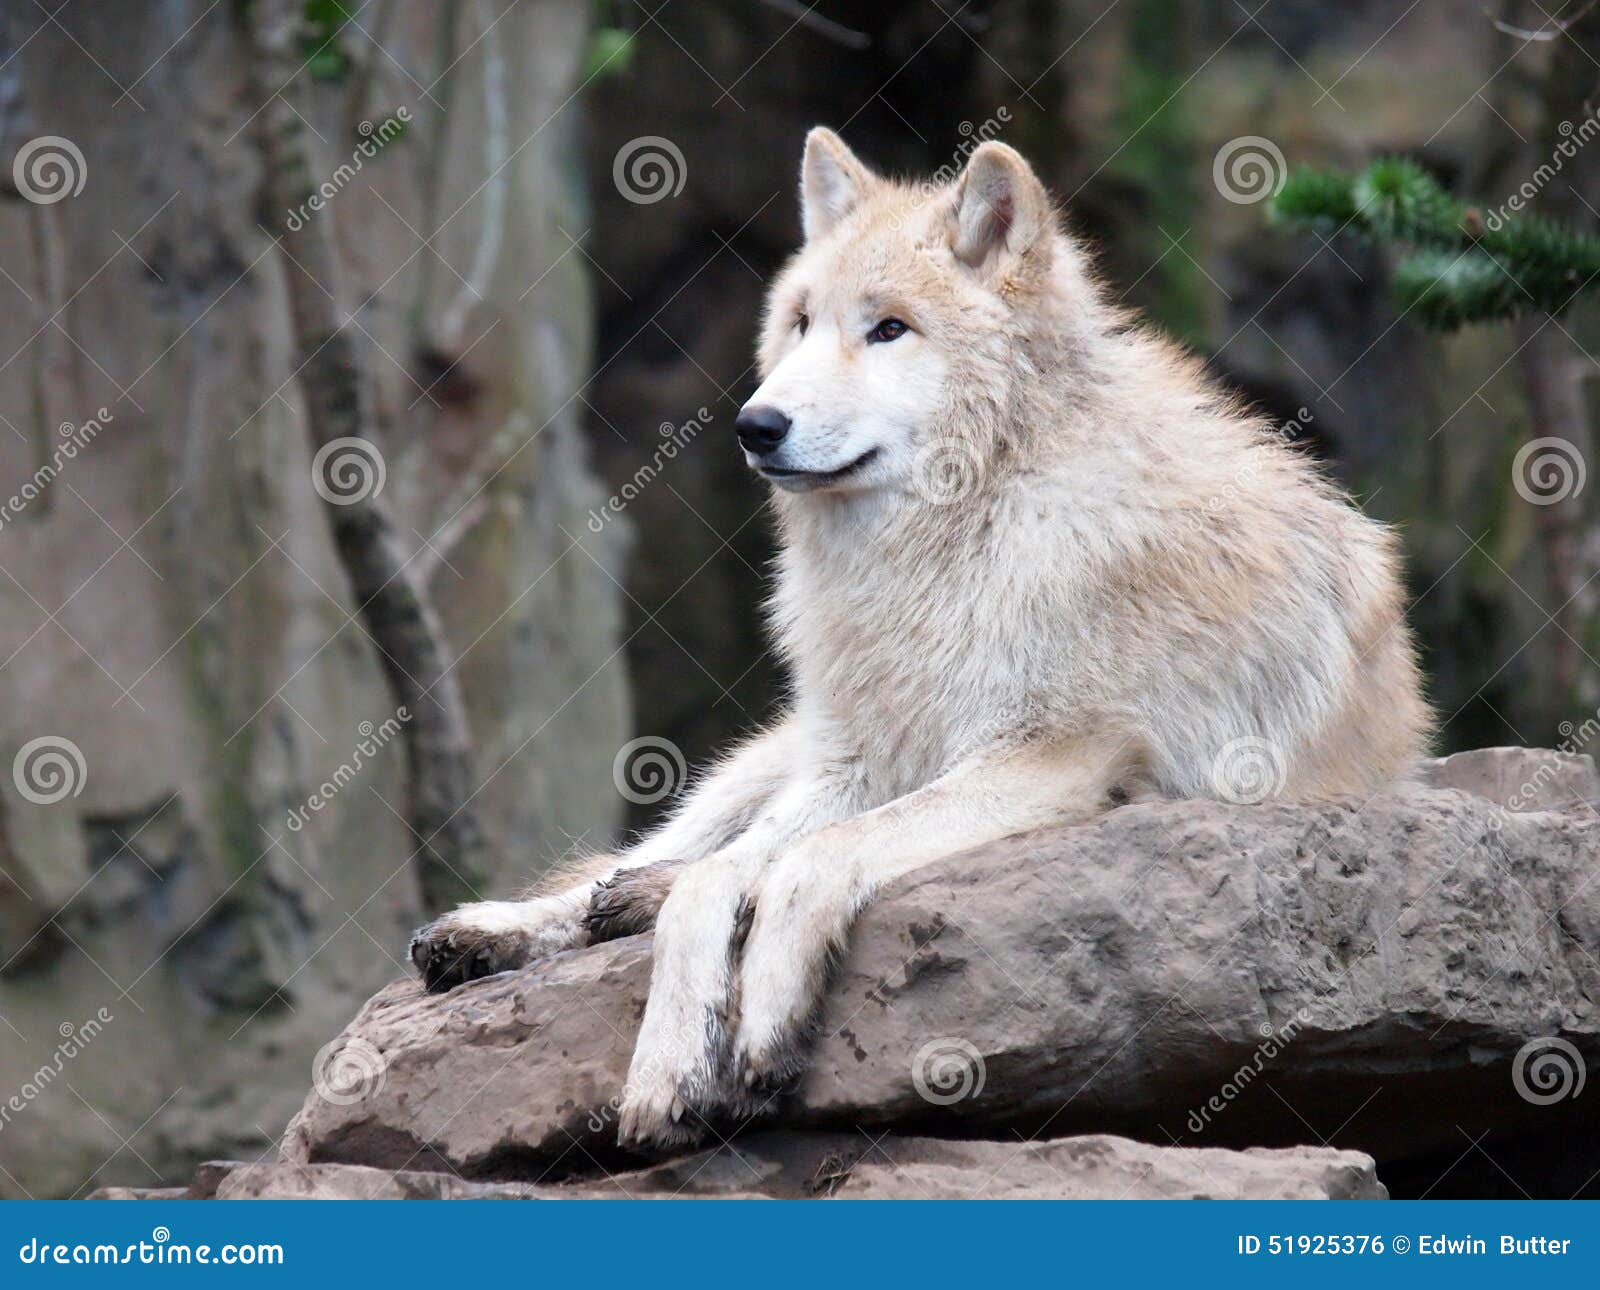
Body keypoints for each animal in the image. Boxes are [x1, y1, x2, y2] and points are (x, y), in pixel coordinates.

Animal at [409, 128, 1431, 1150]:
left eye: (889, 330)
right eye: (802, 323)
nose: (755, 424)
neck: (956, 537)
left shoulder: (1049, 760)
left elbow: (813, 860)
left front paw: (760, 1019)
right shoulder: (854, 762)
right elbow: (720, 884)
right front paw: (671, 1062)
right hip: (776, 753)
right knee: (658, 857)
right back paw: (497, 929)